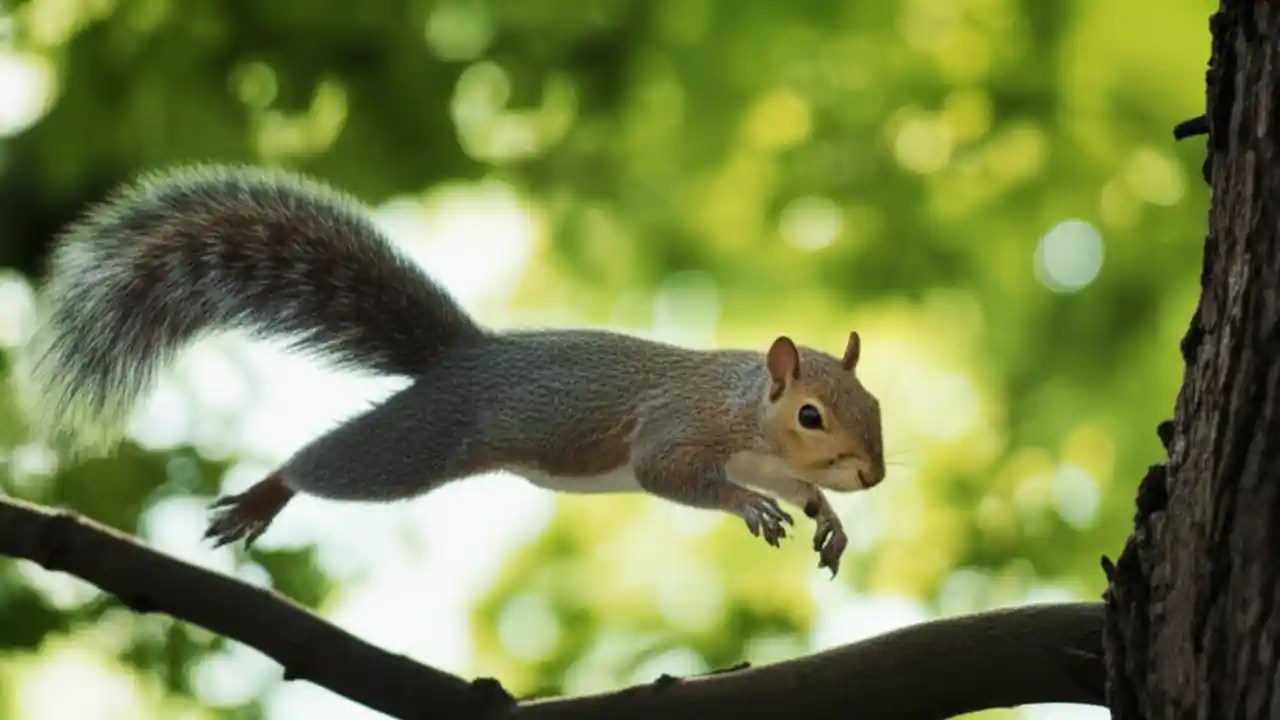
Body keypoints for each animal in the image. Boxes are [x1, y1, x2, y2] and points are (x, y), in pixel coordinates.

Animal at [23, 163, 886, 576]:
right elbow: (666, 472)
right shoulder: (681, 427)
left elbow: (800, 491)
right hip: (421, 440)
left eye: (875, 404)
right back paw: (269, 492)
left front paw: (829, 517)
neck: (748, 417)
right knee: (328, 464)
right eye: (811, 414)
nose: (872, 476)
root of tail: (465, 352)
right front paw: (748, 505)